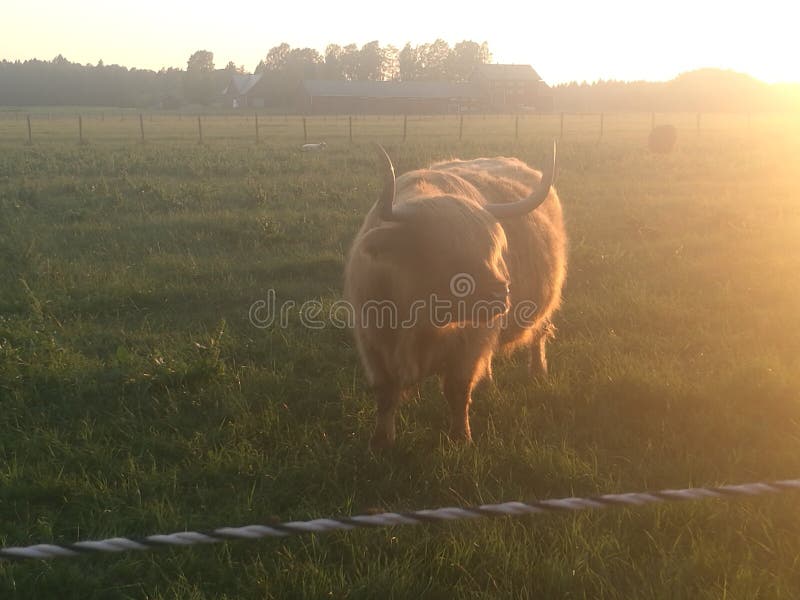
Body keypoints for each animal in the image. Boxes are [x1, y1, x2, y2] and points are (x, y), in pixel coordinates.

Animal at [344, 143, 567, 449]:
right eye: (443, 250)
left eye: (492, 248)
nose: (499, 294)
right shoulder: (373, 342)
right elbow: (385, 393)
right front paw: (381, 441)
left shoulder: (469, 344)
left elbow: (457, 391)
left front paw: (461, 437)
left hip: (544, 305)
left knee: (538, 336)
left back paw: (537, 371)